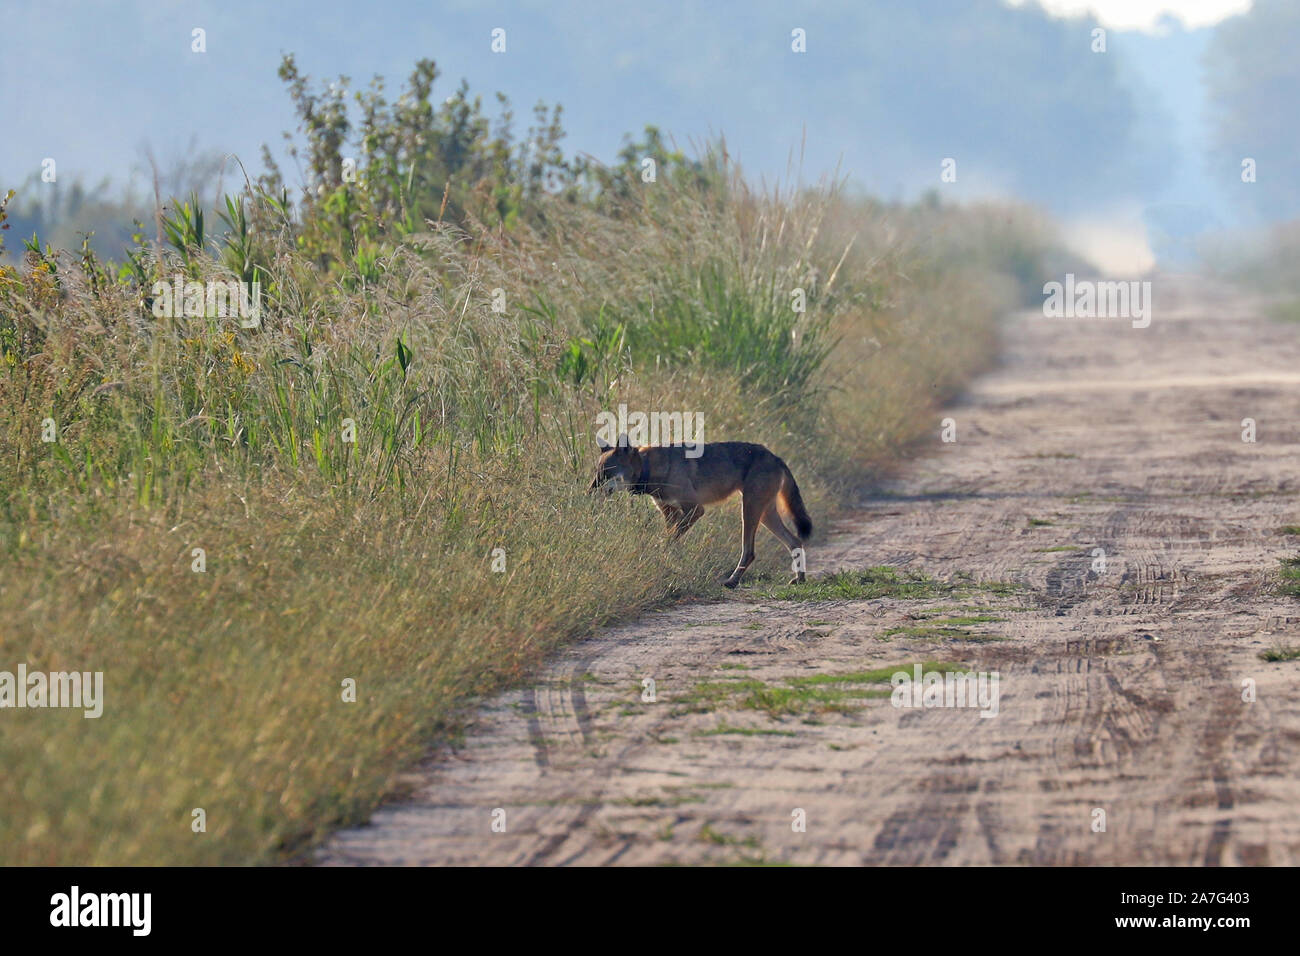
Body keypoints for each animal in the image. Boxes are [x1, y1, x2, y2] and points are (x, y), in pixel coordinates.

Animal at [590, 437, 812, 588]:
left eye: (606, 473)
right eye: (597, 473)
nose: (589, 492)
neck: (649, 468)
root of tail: (776, 457)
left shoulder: (695, 509)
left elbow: (667, 542)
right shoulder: (670, 513)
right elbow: (671, 542)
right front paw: (670, 566)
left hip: (749, 510)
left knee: (750, 552)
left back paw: (732, 581)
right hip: (764, 514)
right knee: (795, 541)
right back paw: (799, 579)